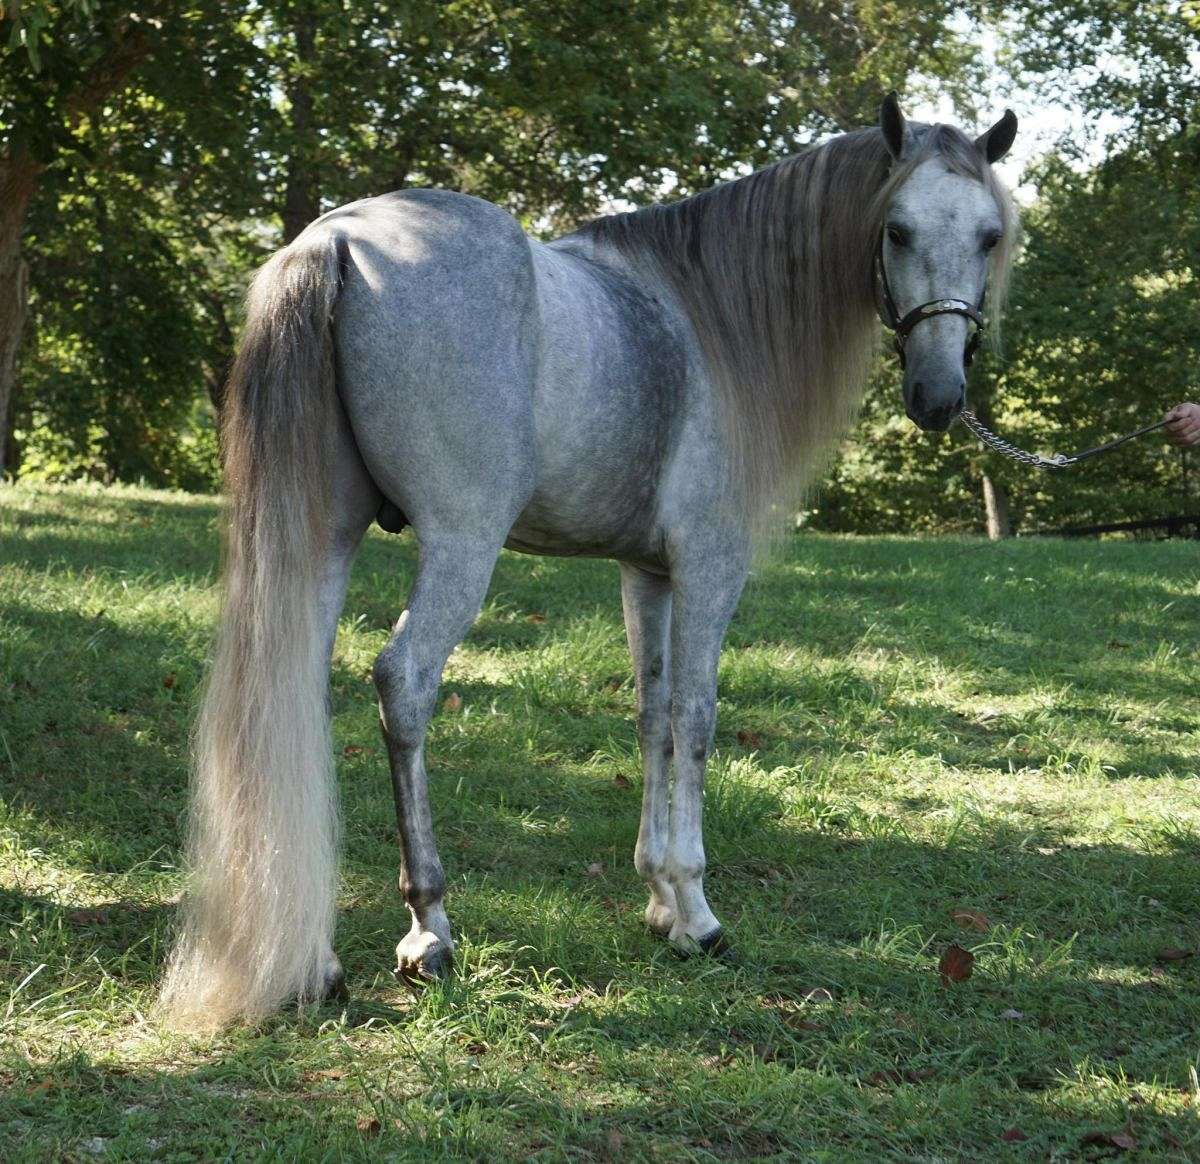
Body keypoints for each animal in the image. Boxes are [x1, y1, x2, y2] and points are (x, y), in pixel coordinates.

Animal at [159, 94, 1018, 1029]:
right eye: (896, 230)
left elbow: (650, 716)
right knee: (404, 683)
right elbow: (696, 719)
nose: (940, 398)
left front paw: (657, 899)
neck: (706, 319)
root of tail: (342, 240)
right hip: (461, 543)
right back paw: (430, 930)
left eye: (989, 236)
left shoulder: (648, 574)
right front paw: (696, 912)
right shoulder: (710, 569)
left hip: (324, 541)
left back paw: (311, 959)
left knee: (293, 689)